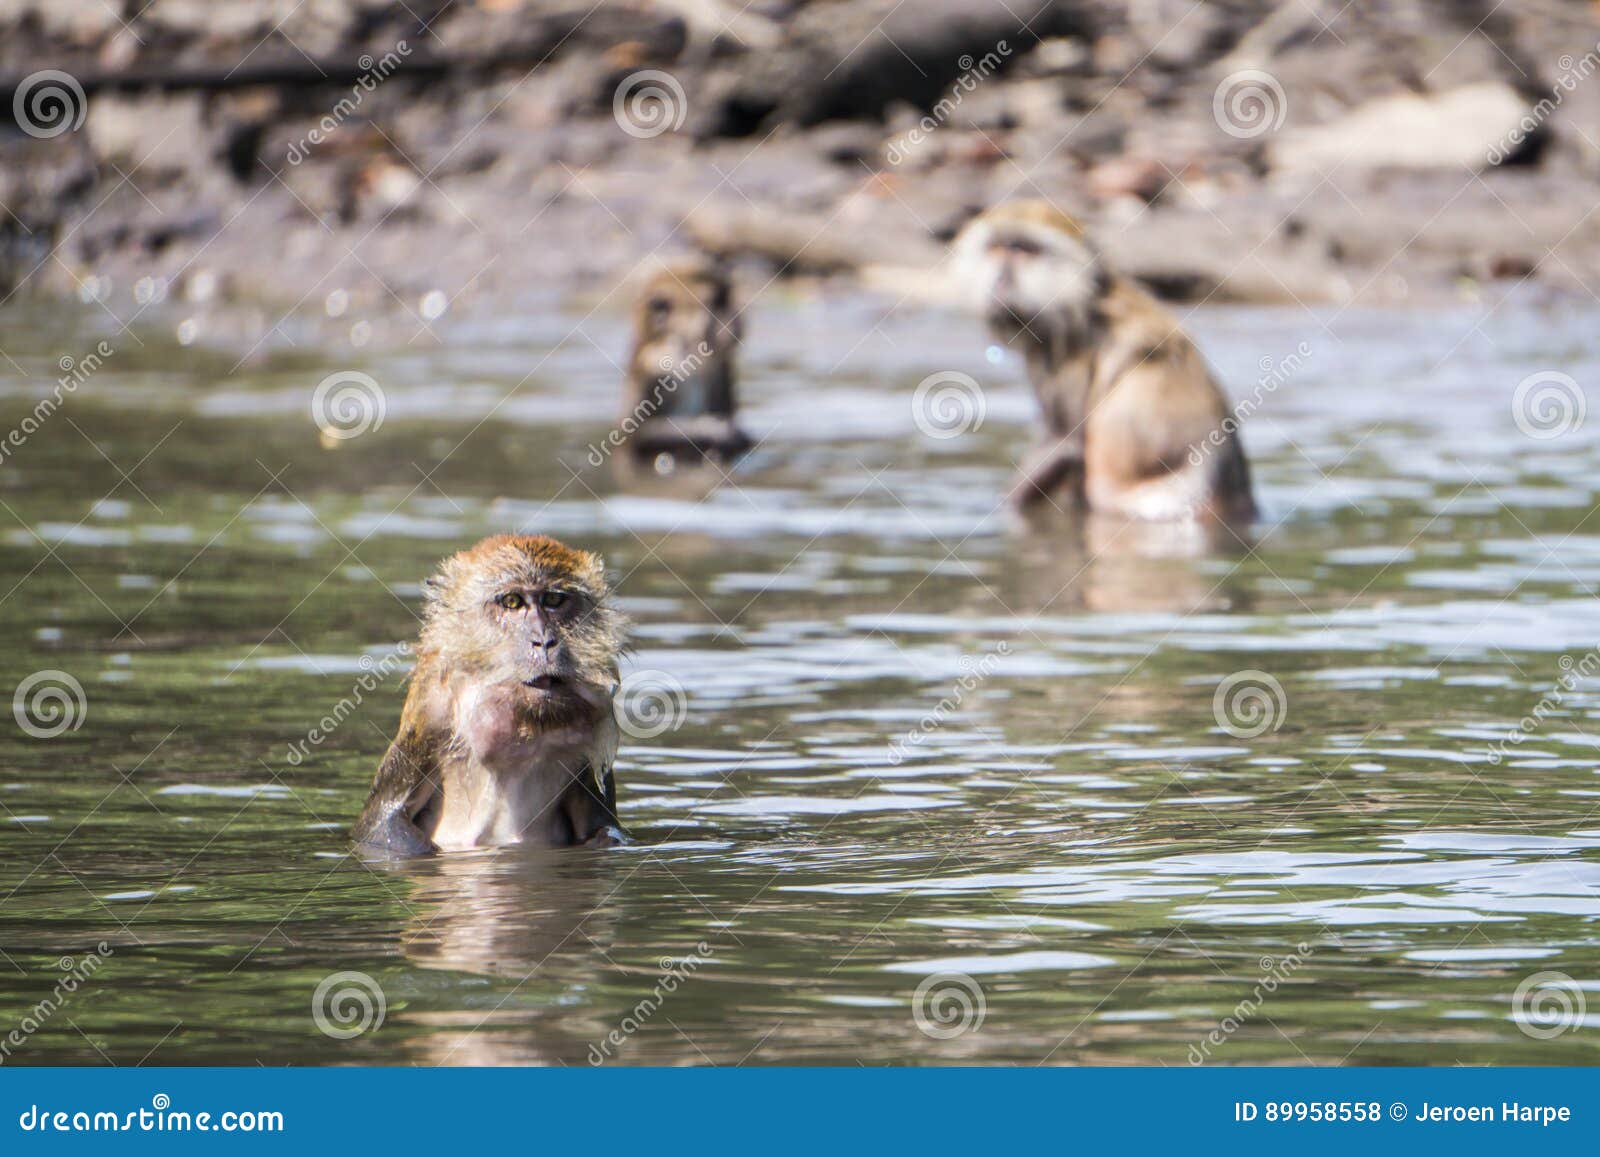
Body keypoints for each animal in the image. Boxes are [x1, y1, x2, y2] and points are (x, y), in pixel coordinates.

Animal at [352, 534, 628, 856]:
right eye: (512, 602)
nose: (544, 640)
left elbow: (603, 826)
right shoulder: (432, 715)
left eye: (554, 600)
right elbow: (378, 826)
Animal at [618, 255, 751, 468]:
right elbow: (640, 436)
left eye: (725, 299)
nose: (737, 315)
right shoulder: (653, 364)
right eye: (718, 302)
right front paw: (715, 433)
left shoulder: (719, 365)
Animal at [950, 200, 1257, 523]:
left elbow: (1065, 444)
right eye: (996, 247)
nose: (1000, 279)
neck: (1084, 301)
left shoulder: (1067, 358)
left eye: (1024, 249)